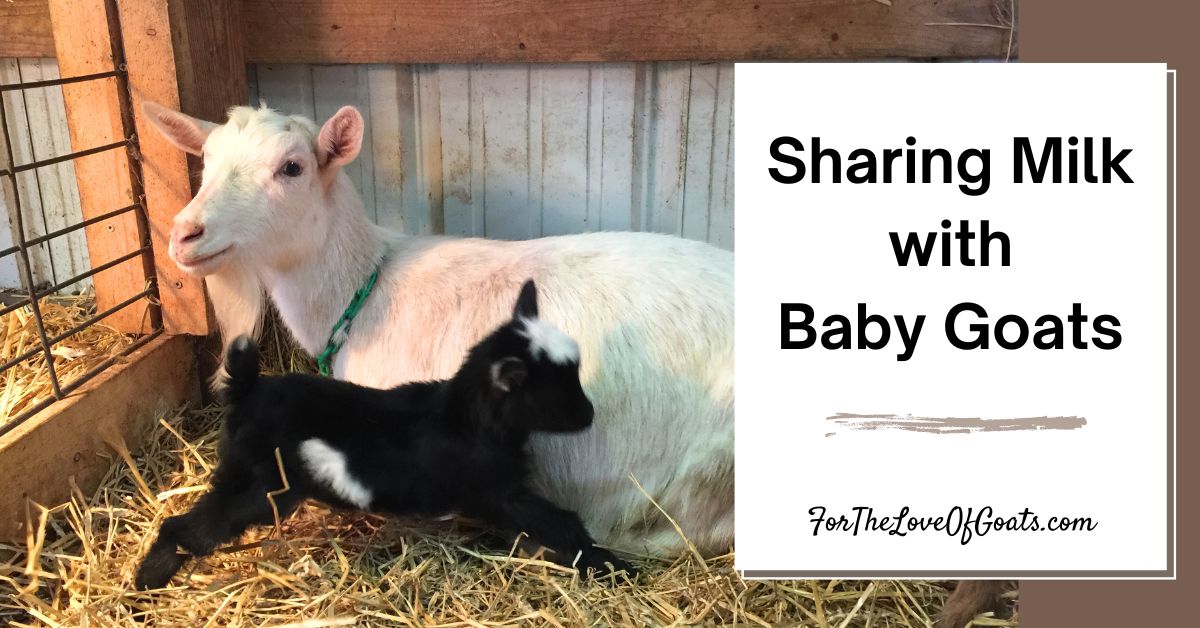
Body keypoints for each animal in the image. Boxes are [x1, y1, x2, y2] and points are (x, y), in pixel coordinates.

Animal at [135, 280, 632, 590]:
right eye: (553, 390)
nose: (589, 414)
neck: (465, 418)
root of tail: (247, 388)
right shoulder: (498, 493)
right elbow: (559, 522)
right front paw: (610, 565)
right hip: (258, 487)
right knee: (187, 527)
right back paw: (147, 582)